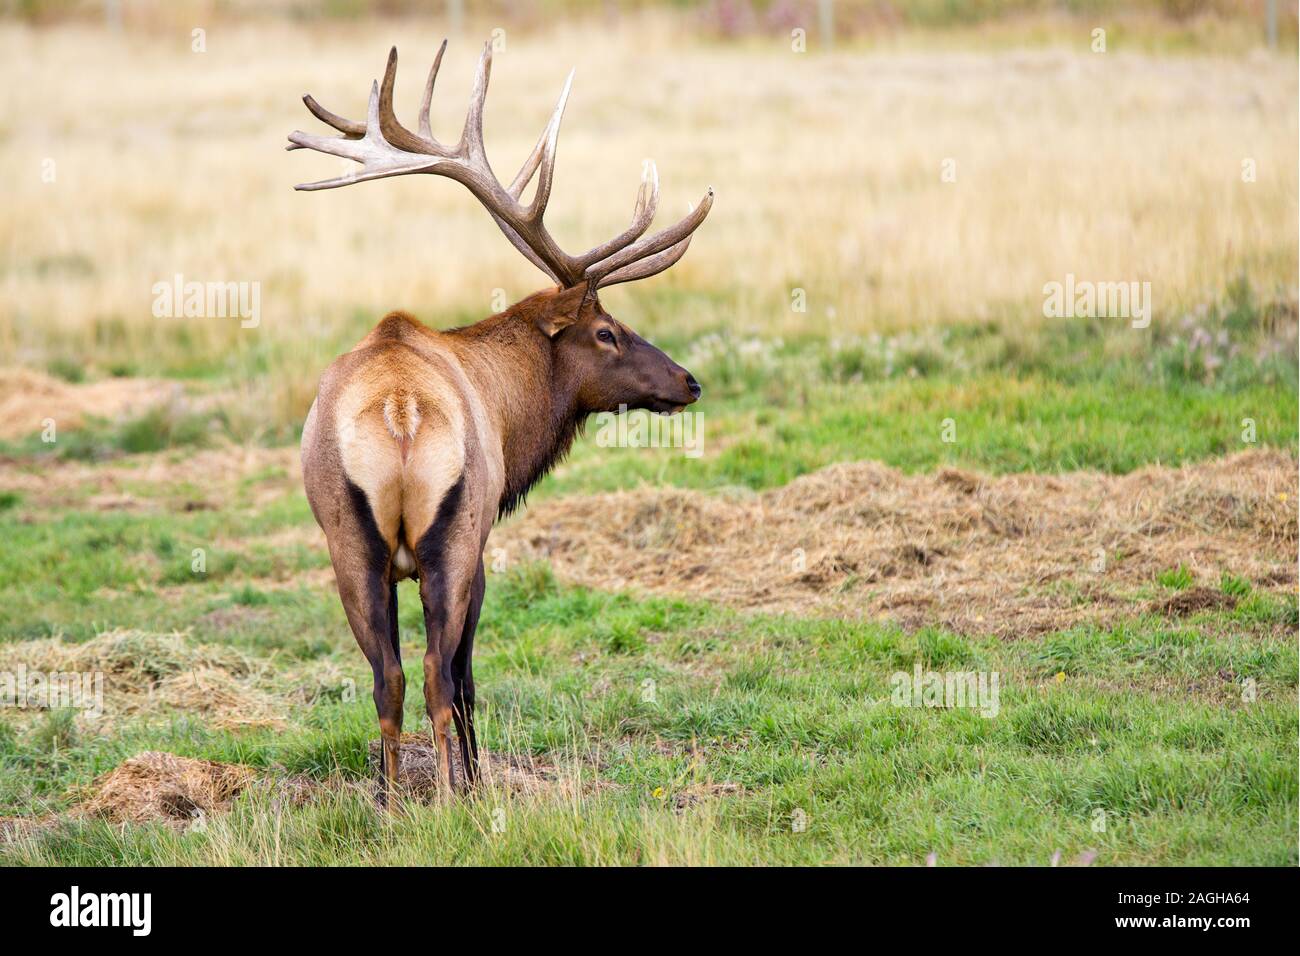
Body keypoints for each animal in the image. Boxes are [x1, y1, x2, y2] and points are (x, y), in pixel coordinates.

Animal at [288, 40, 712, 799]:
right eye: (606, 331)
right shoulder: (483, 539)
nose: (687, 382)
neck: (513, 422)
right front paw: (475, 778)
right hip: (452, 539)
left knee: (388, 677)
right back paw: (451, 796)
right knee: (437, 674)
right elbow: (467, 678)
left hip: (347, 542)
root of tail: (400, 413)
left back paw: (389, 802)